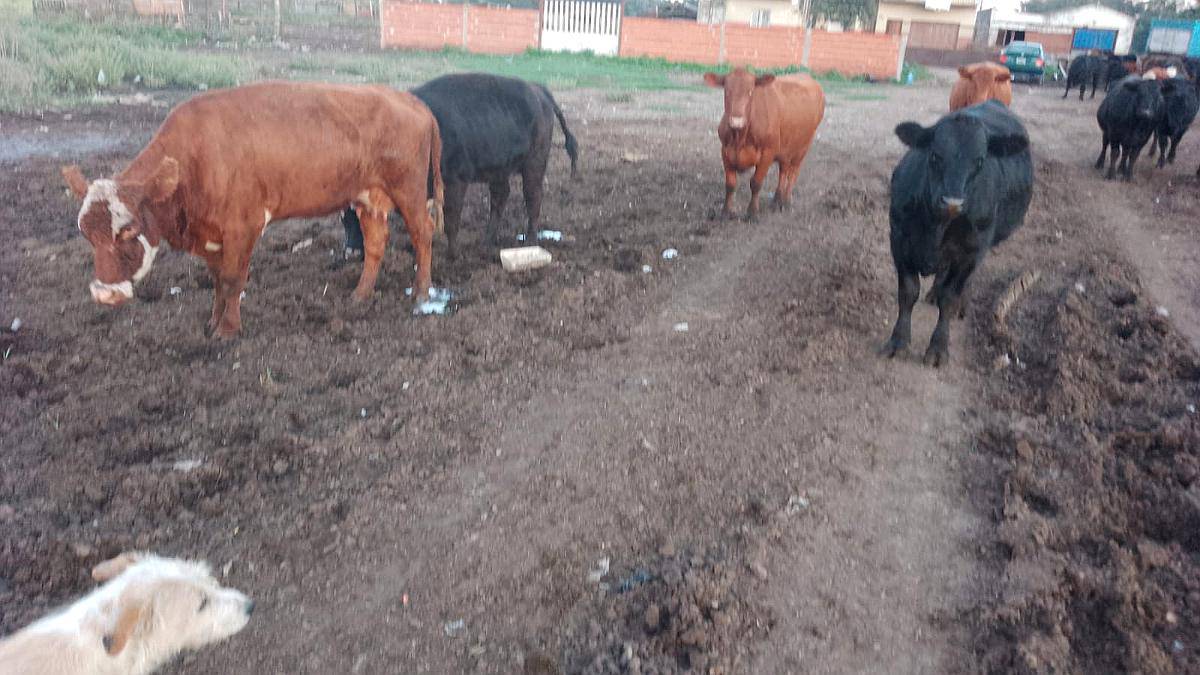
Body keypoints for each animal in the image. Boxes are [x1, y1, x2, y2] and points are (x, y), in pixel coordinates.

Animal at [62, 81, 444, 337]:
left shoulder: (243, 225)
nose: (105, 294)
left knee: (422, 233)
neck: (197, 157)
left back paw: (422, 293)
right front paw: (212, 322)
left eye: (128, 230)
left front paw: (228, 330)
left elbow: (233, 279)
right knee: (376, 243)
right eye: (86, 234)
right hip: (368, 197)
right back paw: (361, 295)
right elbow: (218, 280)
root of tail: (409, 99)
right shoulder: (211, 234)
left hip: (408, 190)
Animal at [343, 73, 578, 260]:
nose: (352, 253)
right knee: (501, 197)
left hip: (534, 165)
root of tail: (537, 89)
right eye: (345, 218)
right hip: (499, 170)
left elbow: (452, 220)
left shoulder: (455, 182)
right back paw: (487, 239)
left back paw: (529, 240)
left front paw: (453, 255)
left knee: (533, 199)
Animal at [703, 67, 826, 220]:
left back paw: (786, 201)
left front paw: (753, 213)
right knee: (784, 170)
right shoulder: (725, 150)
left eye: (750, 92)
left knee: (793, 173)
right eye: (727, 90)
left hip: (803, 147)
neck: (740, 138)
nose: (736, 121)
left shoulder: (768, 153)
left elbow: (756, 183)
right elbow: (730, 184)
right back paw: (777, 200)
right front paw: (726, 212)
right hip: (786, 148)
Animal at [881, 101, 1033, 368]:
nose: (952, 203)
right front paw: (898, 342)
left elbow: (949, 299)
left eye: (980, 161)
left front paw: (938, 347)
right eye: (934, 155)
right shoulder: (899, 240)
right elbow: (908, 292)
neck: (936, 226)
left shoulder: (971, 252)